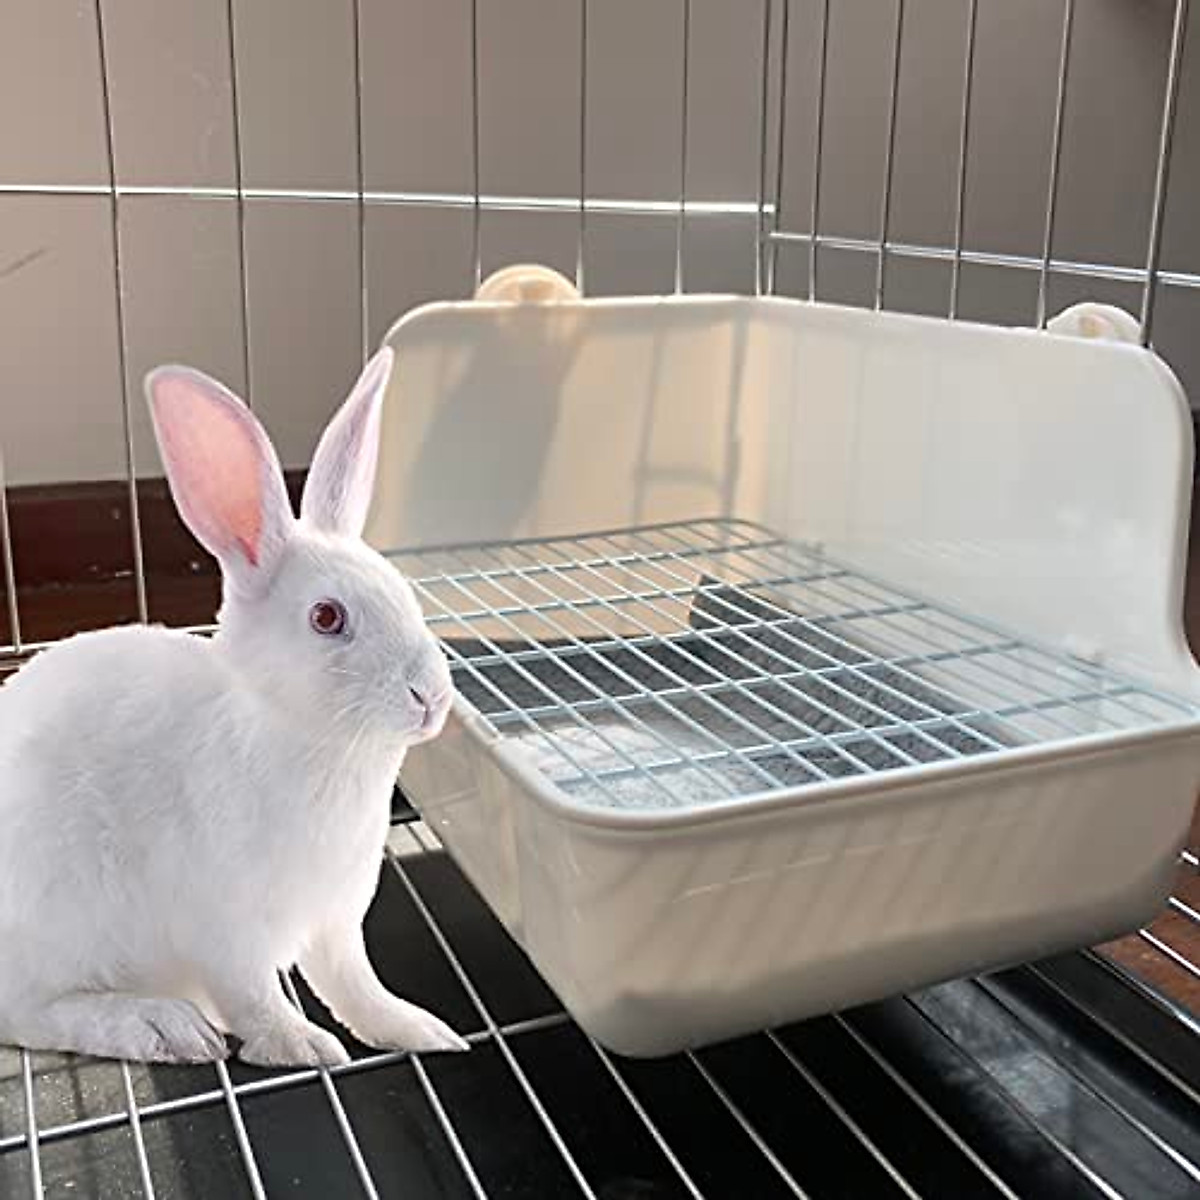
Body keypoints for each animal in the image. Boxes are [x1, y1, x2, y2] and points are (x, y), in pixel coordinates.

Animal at [0, 347, 469, 1067]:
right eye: (327, 617)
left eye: (403, 591)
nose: (432, 696)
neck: (317, 747)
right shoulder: (225, 930)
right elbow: (256, 1000)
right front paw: (305, 1046)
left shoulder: (337, 921)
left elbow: (355, 986)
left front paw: (422, 1030)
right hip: (54, 915)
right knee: (30, 1013)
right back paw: (164, 1026)